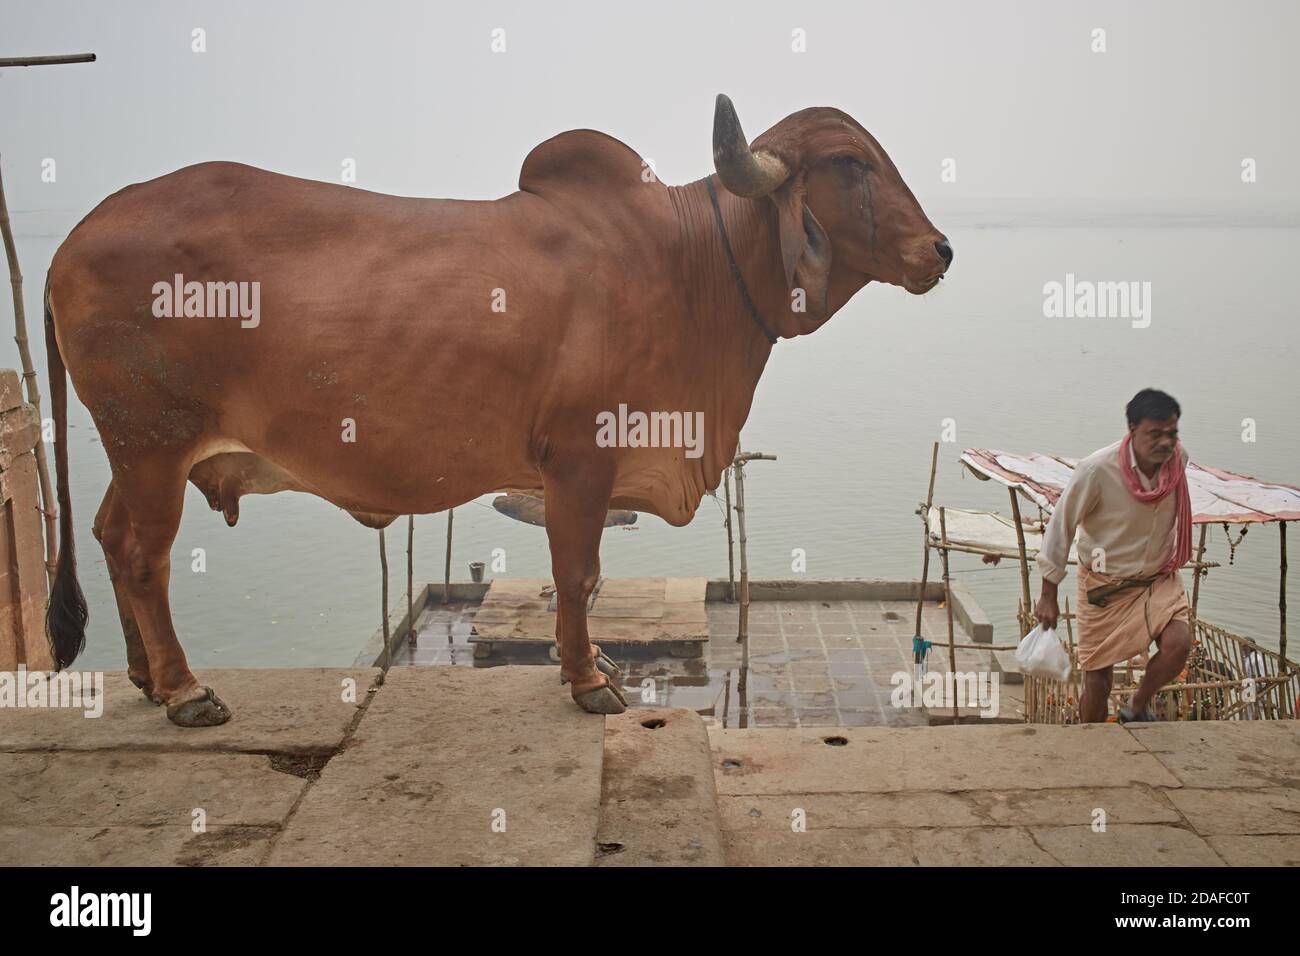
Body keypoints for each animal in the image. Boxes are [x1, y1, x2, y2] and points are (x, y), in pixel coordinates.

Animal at [44, 95, 951, 726]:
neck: (691, 263)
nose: (939, 249)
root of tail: (76, 233)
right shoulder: (581, 458)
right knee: (143, 555)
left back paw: (143, 677)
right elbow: (578, 574)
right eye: (849, 162)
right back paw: (184, 691)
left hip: (143, 450)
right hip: (153, 440)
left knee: (108, 534)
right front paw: (586, 680)